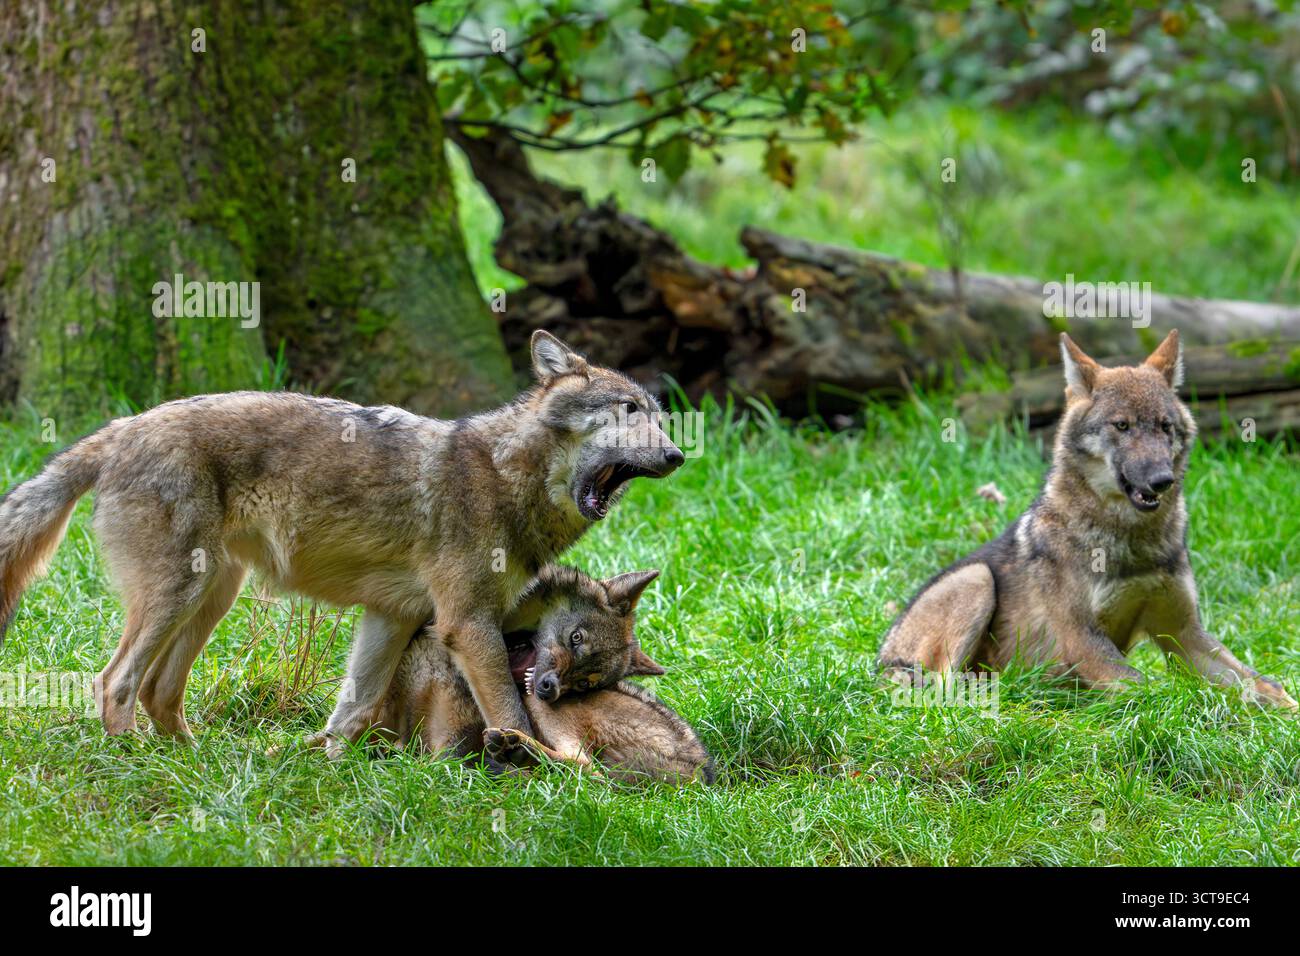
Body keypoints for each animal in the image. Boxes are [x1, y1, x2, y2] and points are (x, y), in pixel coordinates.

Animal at [0, 331, 684, 745]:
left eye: (661, 417)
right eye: (628, 411)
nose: (679, 455)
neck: (502, 473)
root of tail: (120, 427)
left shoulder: (391, 616)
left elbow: (353, 710)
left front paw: (322, 759)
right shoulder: (467, 624)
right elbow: (512, 714)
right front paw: (527, 769)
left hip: (212, 596)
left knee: (158, 690)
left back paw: (193, 762)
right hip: (179, 595)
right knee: (115, 681)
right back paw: (136, 759)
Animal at [379, 564, 714, 785]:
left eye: (583, 683)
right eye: (576, 638)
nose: (548, 688)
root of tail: (702, 770)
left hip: (541, 710)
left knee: (588, 774)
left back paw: (518, 749)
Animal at [879, 329, 1297, 709]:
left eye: (1165, 427)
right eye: (1122, 425)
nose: (1162, 480)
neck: (1132, 539)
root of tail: (878, 663)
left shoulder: (1184, 634)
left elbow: (1266, 687)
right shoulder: (1084, 640)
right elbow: (1159, 694)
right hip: (976, 579)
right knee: (943, 689)